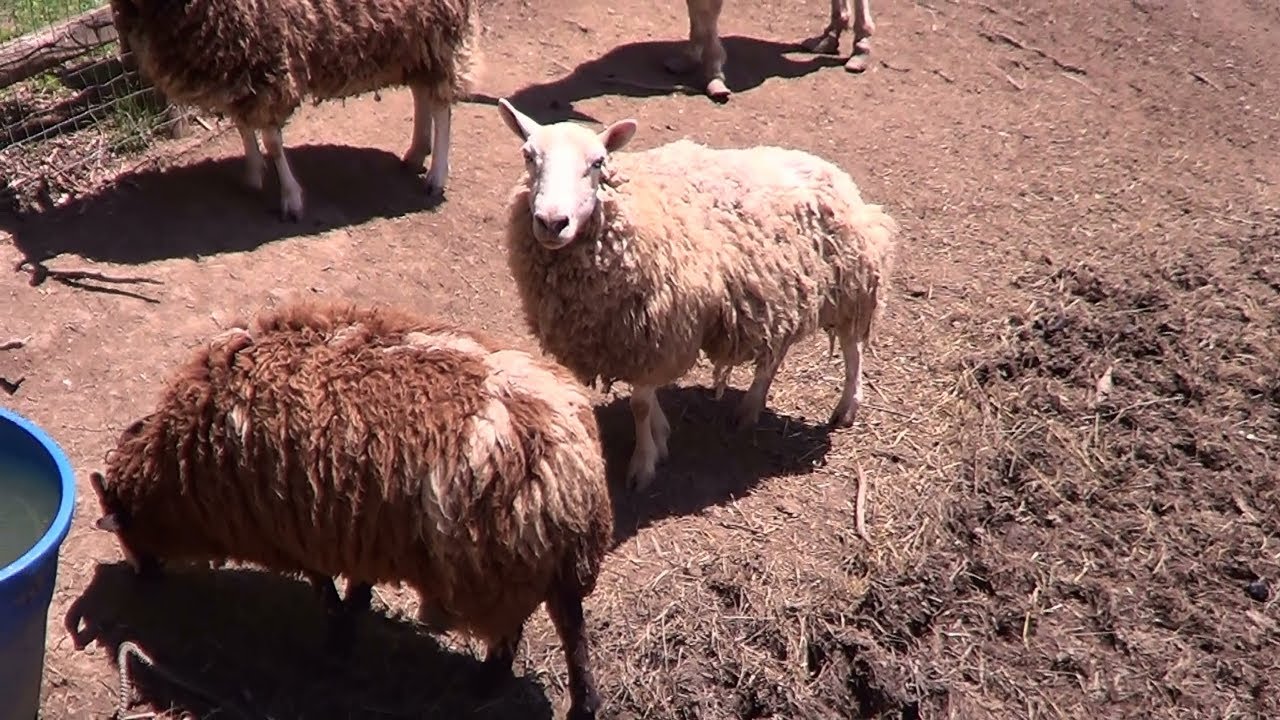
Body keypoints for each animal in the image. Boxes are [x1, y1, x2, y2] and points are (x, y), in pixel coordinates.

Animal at [87, 299, 612, 719]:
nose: (143, 577)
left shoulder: (297, 533)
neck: (180, 472)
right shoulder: (362, 532)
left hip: (498, 567)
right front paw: (353, 617)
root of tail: (575, 463)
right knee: (572, 630)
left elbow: (325, 589)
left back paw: (486, 684)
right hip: (550, 563)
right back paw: (582, 704)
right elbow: (356, 586)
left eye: (124, 532)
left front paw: (337, 640)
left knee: (516, 634)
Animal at [108, 0, 482, 221]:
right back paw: (416, 152)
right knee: (422, 95)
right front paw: (252, 175)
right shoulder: (239, 71)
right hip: (415, 41)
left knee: (442, 106)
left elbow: (273, 143)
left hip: (439, 33)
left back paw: (435, 176)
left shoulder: (267, 60)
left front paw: (291, 199)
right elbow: (244, 127)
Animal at [495, 97, 899, 490]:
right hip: (783, 292)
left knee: (852, 347)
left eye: (597, 163)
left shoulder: (657, 331)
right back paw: (750, 408)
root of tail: (834, 172)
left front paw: (644, 463)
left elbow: (640, 404)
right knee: (776, 353)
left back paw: (847, 406)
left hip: (852, 285)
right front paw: (661, 433)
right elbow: (648, 400)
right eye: (528, 155)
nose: (552, 222)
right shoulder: (641, 336)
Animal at [667, 0, 877, 101]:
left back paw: (860, 50)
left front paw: (714, 77)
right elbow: (698, 14)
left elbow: (704, 14)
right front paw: (690, 57)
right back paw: (829, 36)